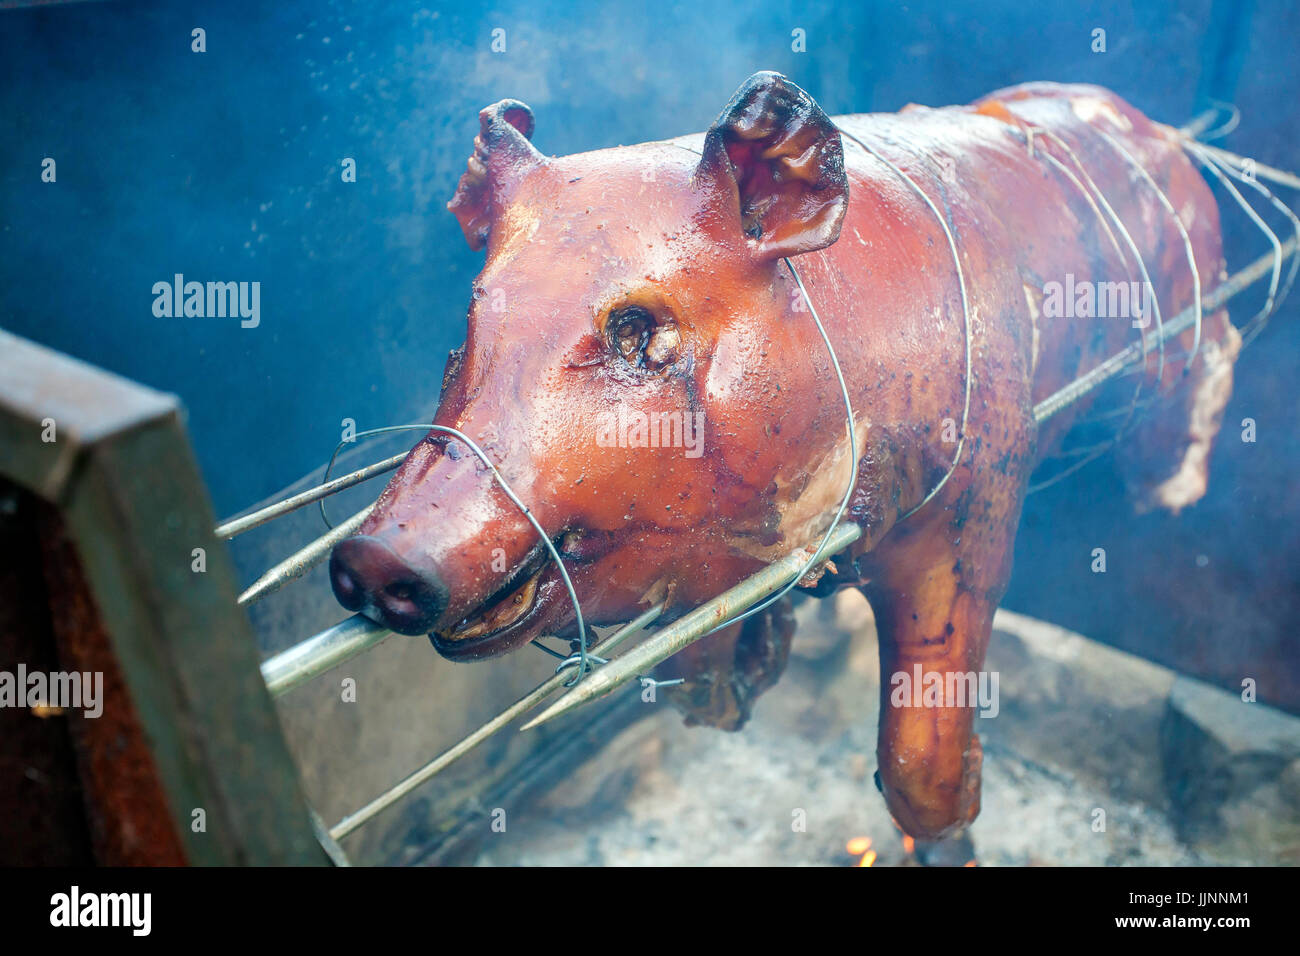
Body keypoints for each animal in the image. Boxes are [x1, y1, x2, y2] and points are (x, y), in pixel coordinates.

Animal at [329, 72, 1239, 840]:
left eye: (636, 328)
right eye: (472, 316)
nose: (375, 558)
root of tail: (1165, 130)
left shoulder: (985, 475)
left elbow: (918, 737)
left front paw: (957, 813)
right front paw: (738, 684)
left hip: (1183, 327)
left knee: (1218, 351)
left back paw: (1174, 490)